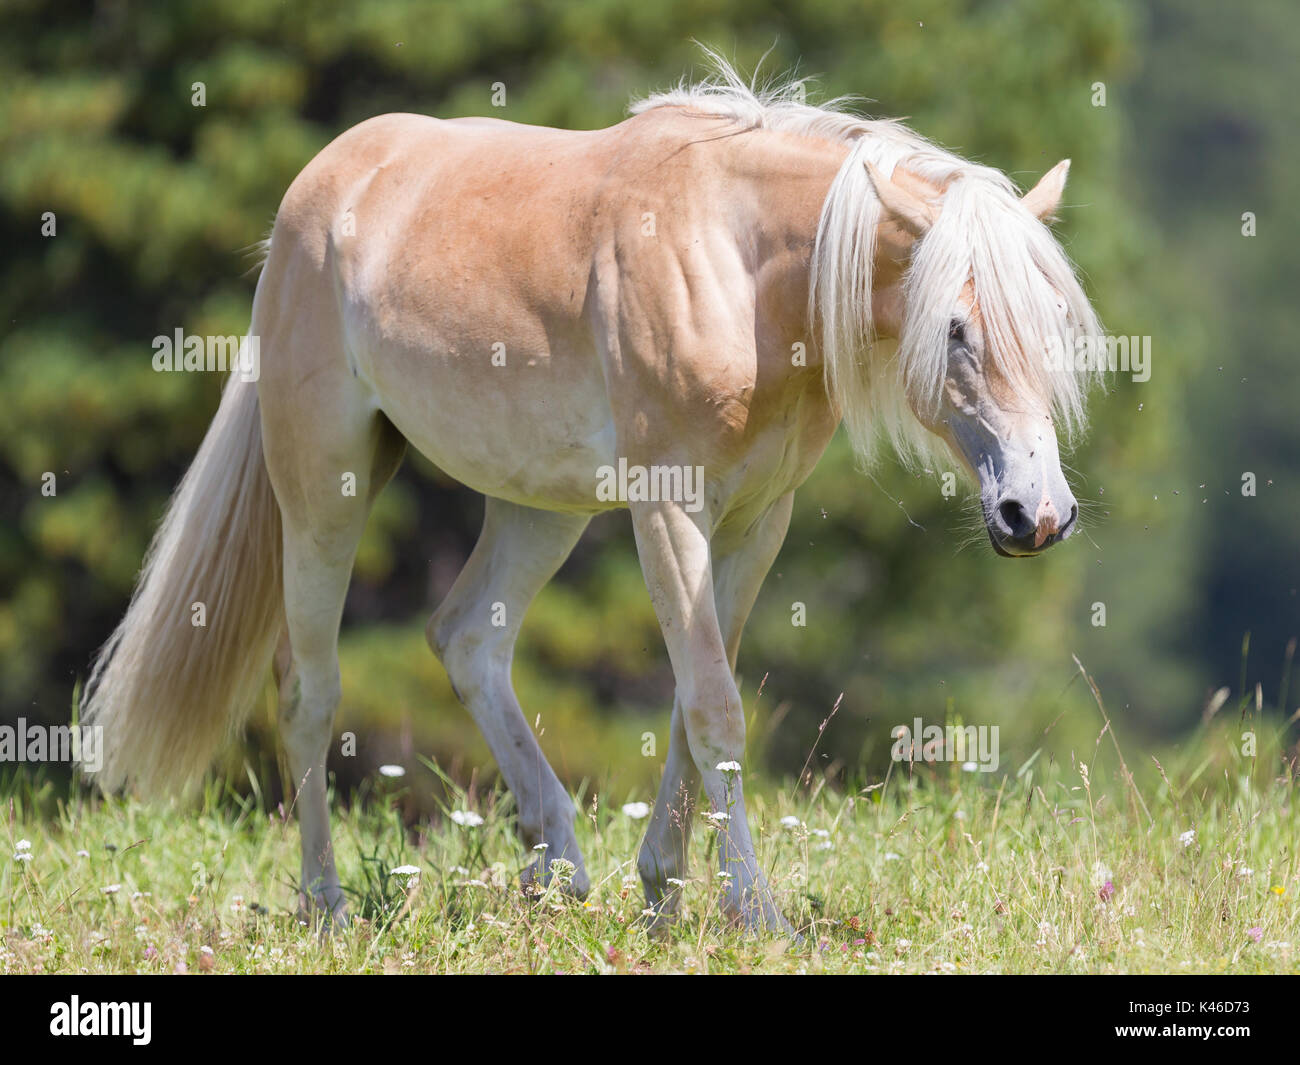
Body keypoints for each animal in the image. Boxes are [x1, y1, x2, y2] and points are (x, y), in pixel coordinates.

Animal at [82, 57, 1103, 933]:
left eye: (1056, 319)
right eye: (956, 329)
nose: (1038, 514)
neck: (736, 268)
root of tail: (317, 194)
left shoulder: (754, 523)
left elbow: (696, 703)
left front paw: (664, 892)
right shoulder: (670, 511)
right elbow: (714, 707)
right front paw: (755, 913)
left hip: (539, 509)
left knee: (468, 639)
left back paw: (558, 868)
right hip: (323, 488)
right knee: (307, 690)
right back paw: (328, 905)